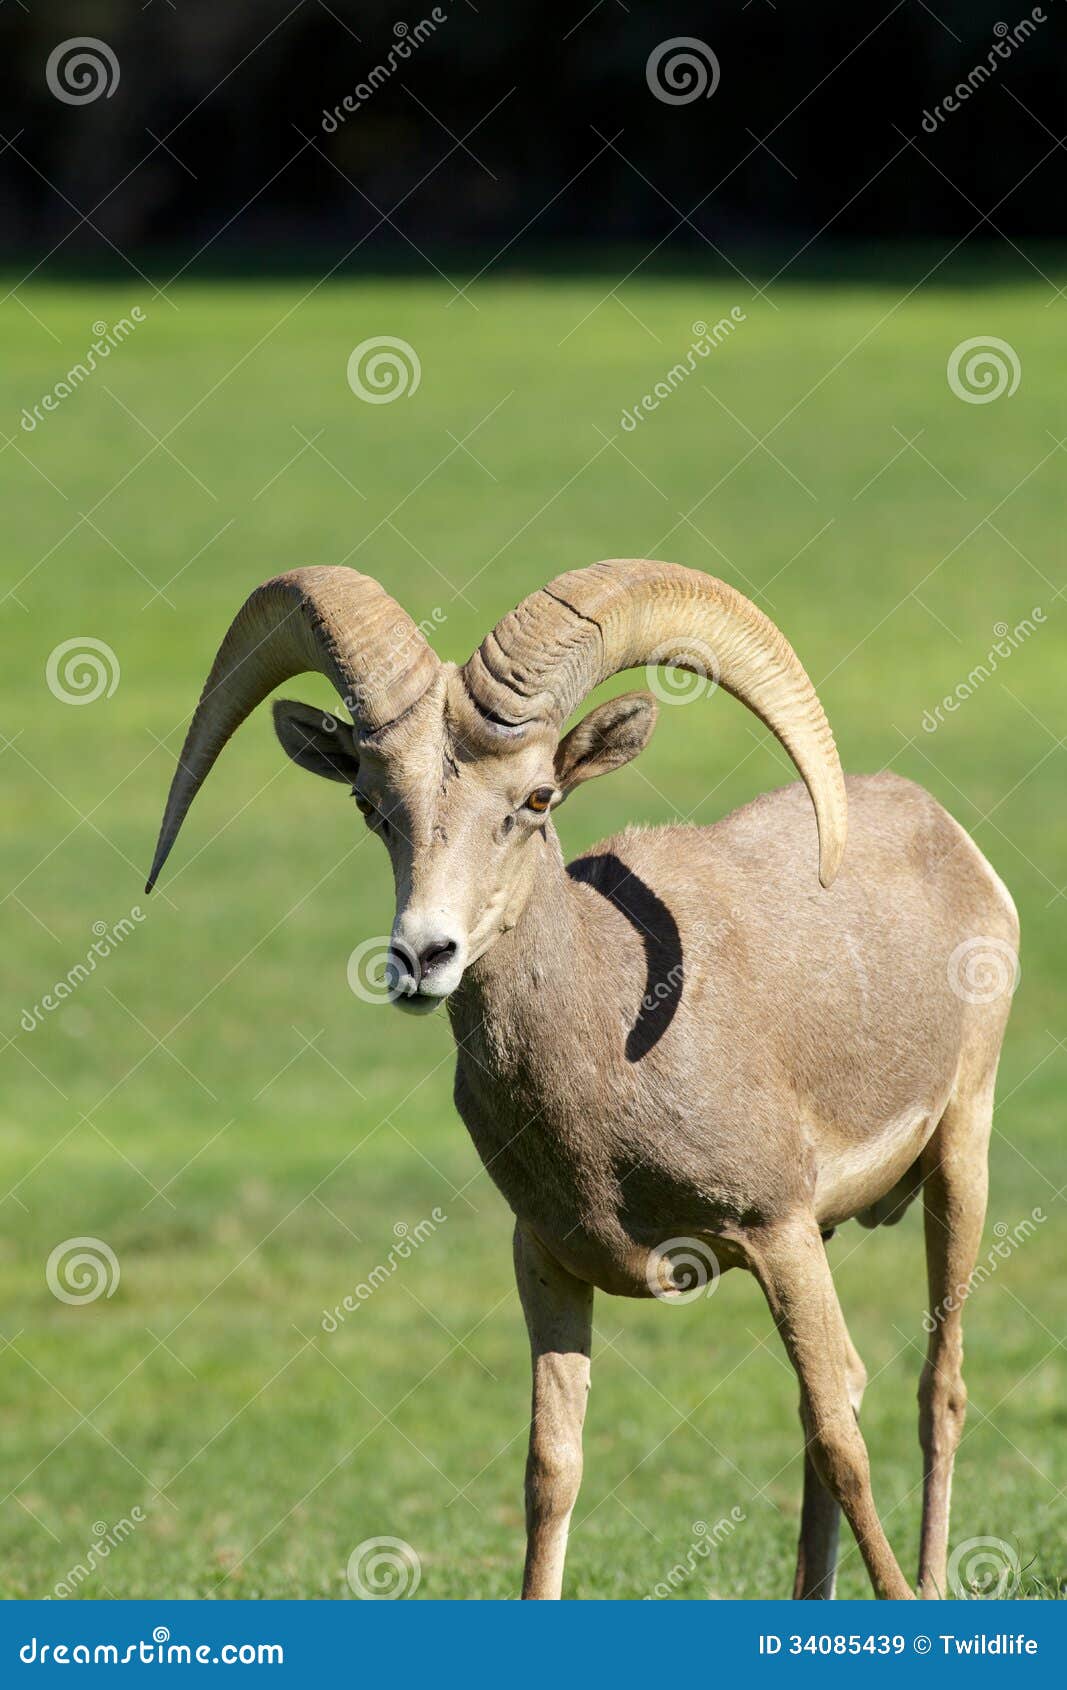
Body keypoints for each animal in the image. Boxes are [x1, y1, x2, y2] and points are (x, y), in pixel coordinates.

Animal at [148, 558, 1019, 1601]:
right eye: (370, 804)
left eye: (535, 800)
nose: (421, 957)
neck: (607, 1053)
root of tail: (954, 846)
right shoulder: (550, 1263)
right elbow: (551, 1470)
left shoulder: (773, 1233)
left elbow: (842, 1437)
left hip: (957, 1161)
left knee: (936, 1388)